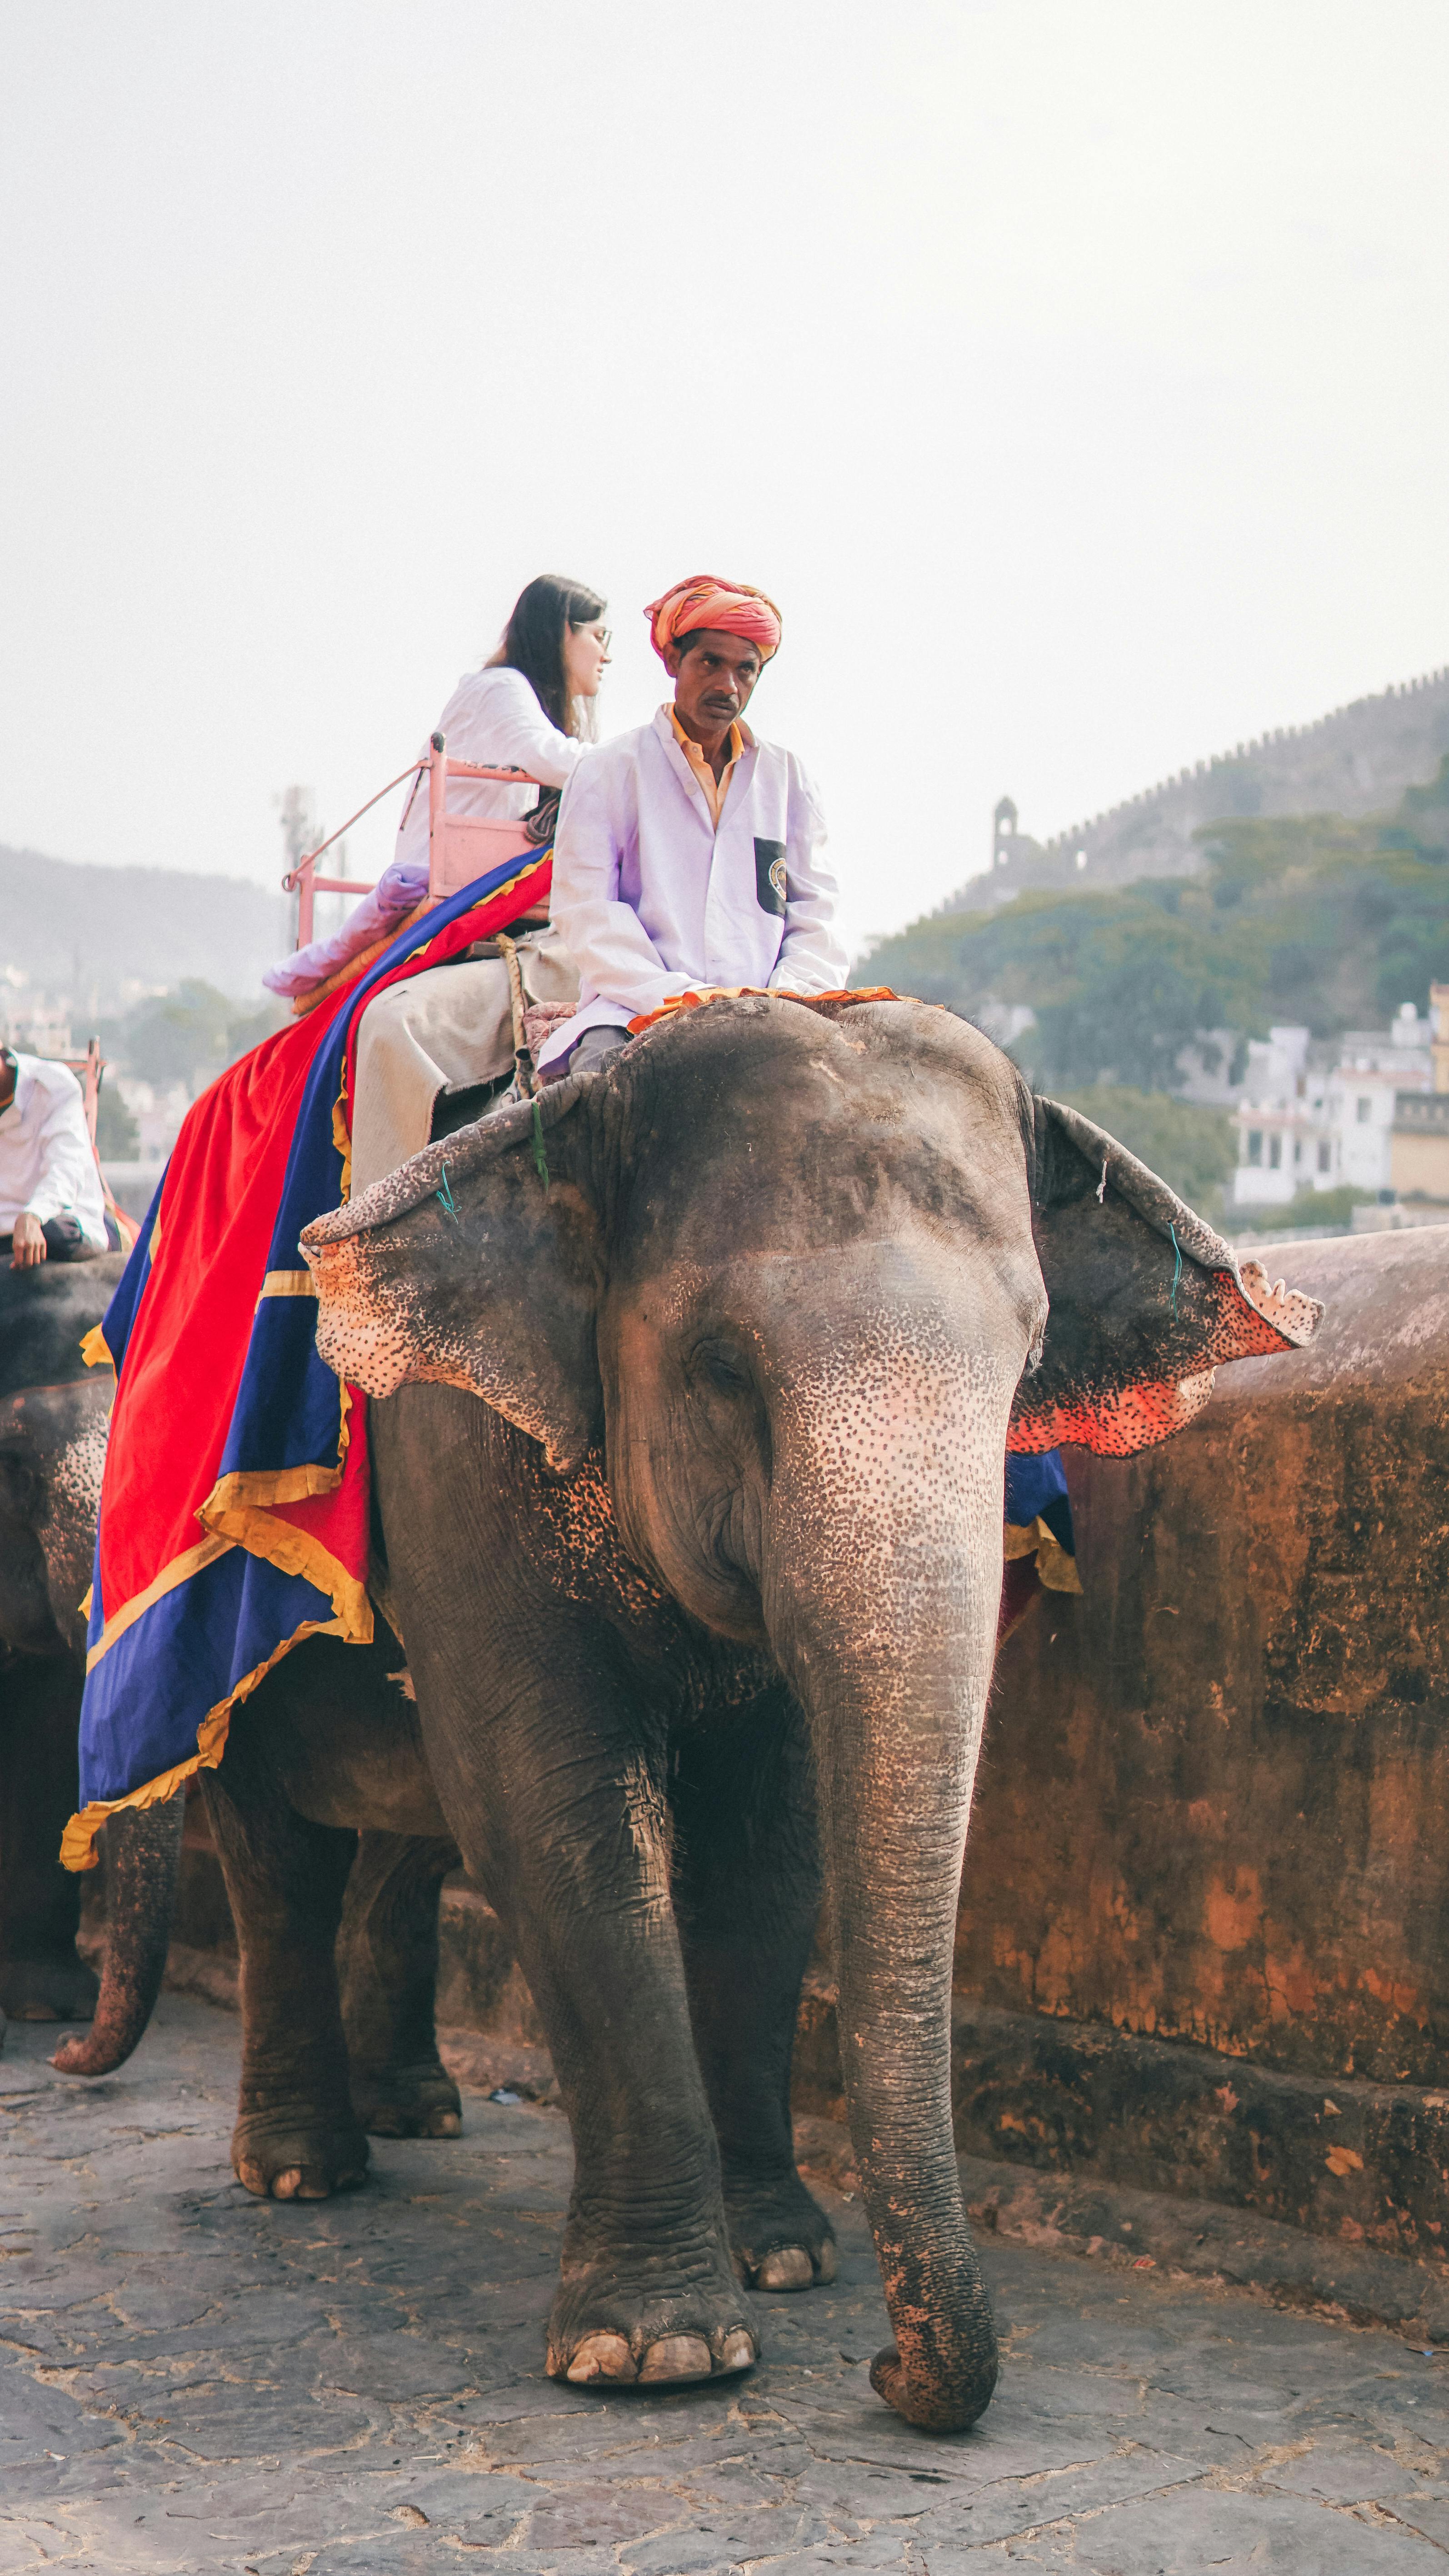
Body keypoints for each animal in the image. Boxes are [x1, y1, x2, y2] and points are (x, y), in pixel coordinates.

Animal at [76, 998, 1320, 2431]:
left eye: (1024, 1364)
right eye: (722, 1365)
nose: (889, 2370)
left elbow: (769, 1853)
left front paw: (784, 2256)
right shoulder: (453, 1450)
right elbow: (553, 1816)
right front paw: (656, 2351)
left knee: (401, 1837)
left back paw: (415, 2113)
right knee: (280, 1848)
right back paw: (302, 2171)